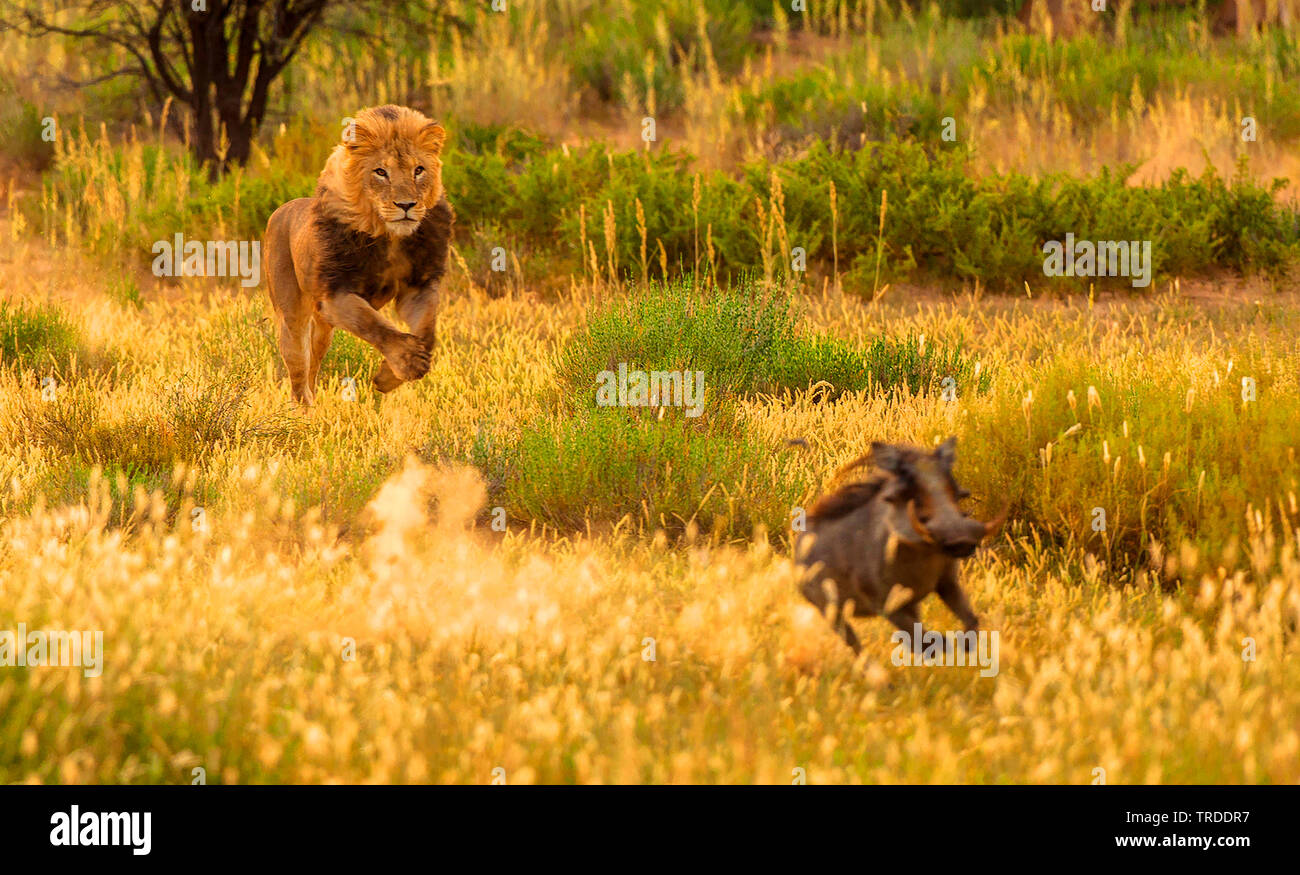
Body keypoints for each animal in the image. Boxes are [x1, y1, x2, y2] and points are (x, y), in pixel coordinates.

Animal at [262, 104, 454, 406]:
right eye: (381, 172)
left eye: (419, 170)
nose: (407, 205)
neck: (390, 236)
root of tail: (283, 208)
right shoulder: (336, 294)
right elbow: (374, 324)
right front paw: (407, 362)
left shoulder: (419, 287)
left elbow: (427, 329)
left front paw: (390, 376)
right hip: (292, 317)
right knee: (298, 373)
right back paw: (302, 412)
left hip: (322, 328)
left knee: (313, 367)